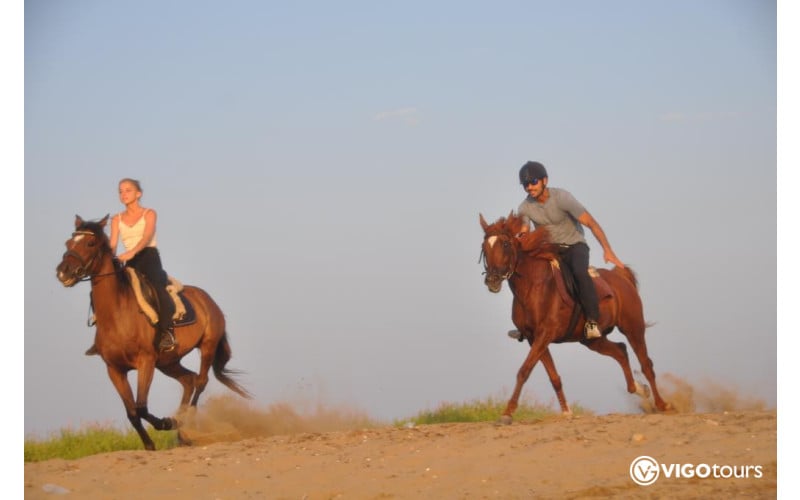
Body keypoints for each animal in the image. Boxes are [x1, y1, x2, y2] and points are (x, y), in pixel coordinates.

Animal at [56, 215, 251, 450]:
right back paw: (182, 434)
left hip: (207, 346)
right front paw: (150, 446)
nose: (63, 272)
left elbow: (141, 407)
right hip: (168, 362)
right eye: (68, 243)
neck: (117, 314)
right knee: (189, 380)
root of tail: (209, 301)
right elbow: (132, 413)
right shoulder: (114, 369)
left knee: (200, 382)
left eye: (90, 243)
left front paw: (166, 422)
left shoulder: (145, 362)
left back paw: (183, 424)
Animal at [479, 212, 671, 424]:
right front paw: (566, 411)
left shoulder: (545, 334)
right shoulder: (534, 338)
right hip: (592, 340)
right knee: (620, 351)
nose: (492, 280)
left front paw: (507, 413)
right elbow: (553, 376)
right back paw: (638, 389)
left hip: (633, 327)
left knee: (646, 363)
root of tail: (621, 277)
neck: (534, 286)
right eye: (484, 247)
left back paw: (662, 404)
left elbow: (524, 371)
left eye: (505, 244)